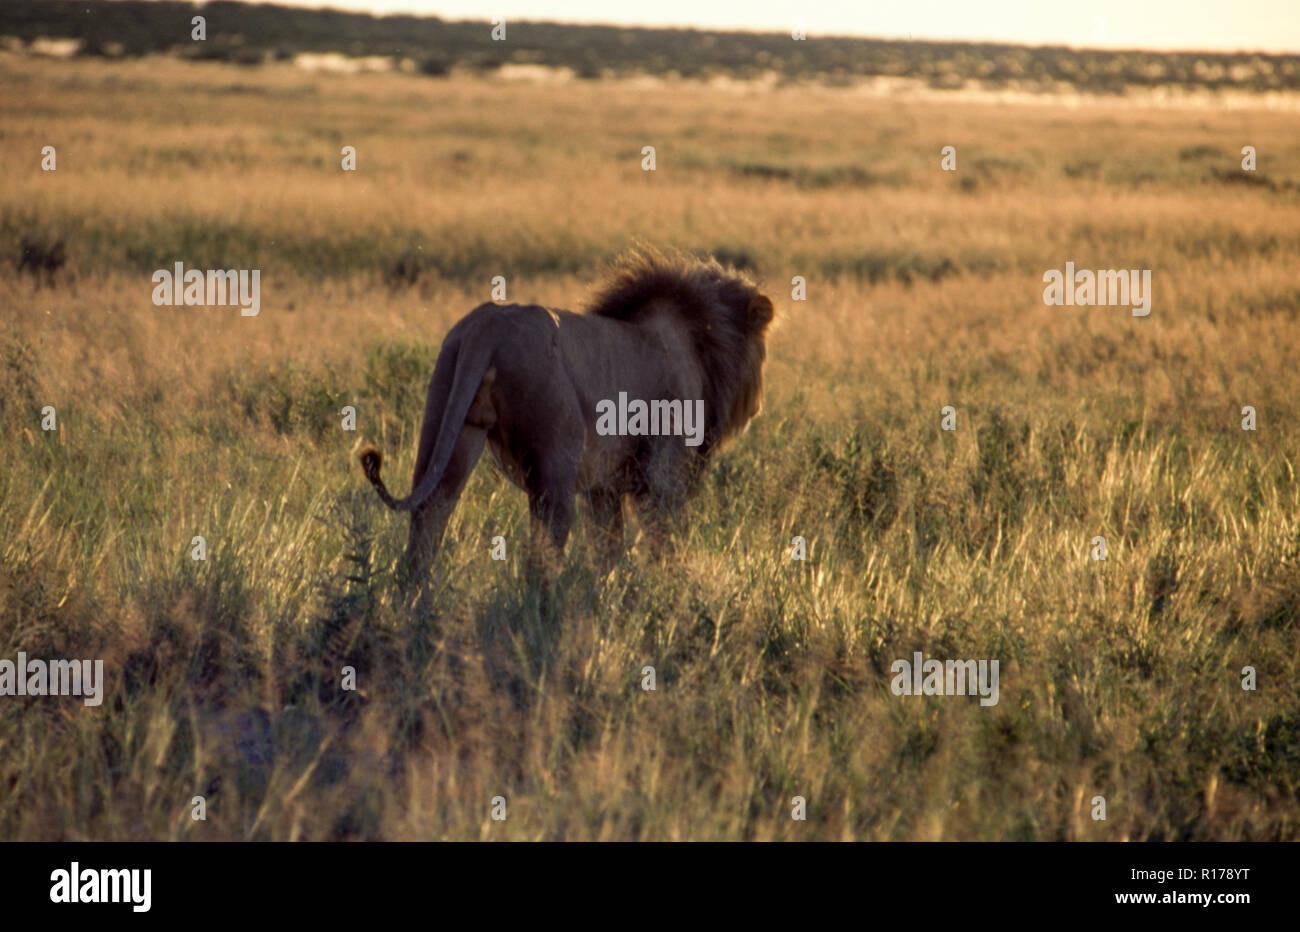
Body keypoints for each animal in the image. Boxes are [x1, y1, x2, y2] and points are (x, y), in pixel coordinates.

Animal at [358, 249, 774, 581]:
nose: (758, 407)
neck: (701, 340)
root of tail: (486, 328)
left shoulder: (604, 486)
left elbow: (608, 546)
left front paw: (607, 592)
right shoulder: (664, 474)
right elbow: (666, 538)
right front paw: (669, 589)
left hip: (449, 419)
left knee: (429, 515)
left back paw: (414, 595)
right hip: (555, 454)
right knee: (543, 548)